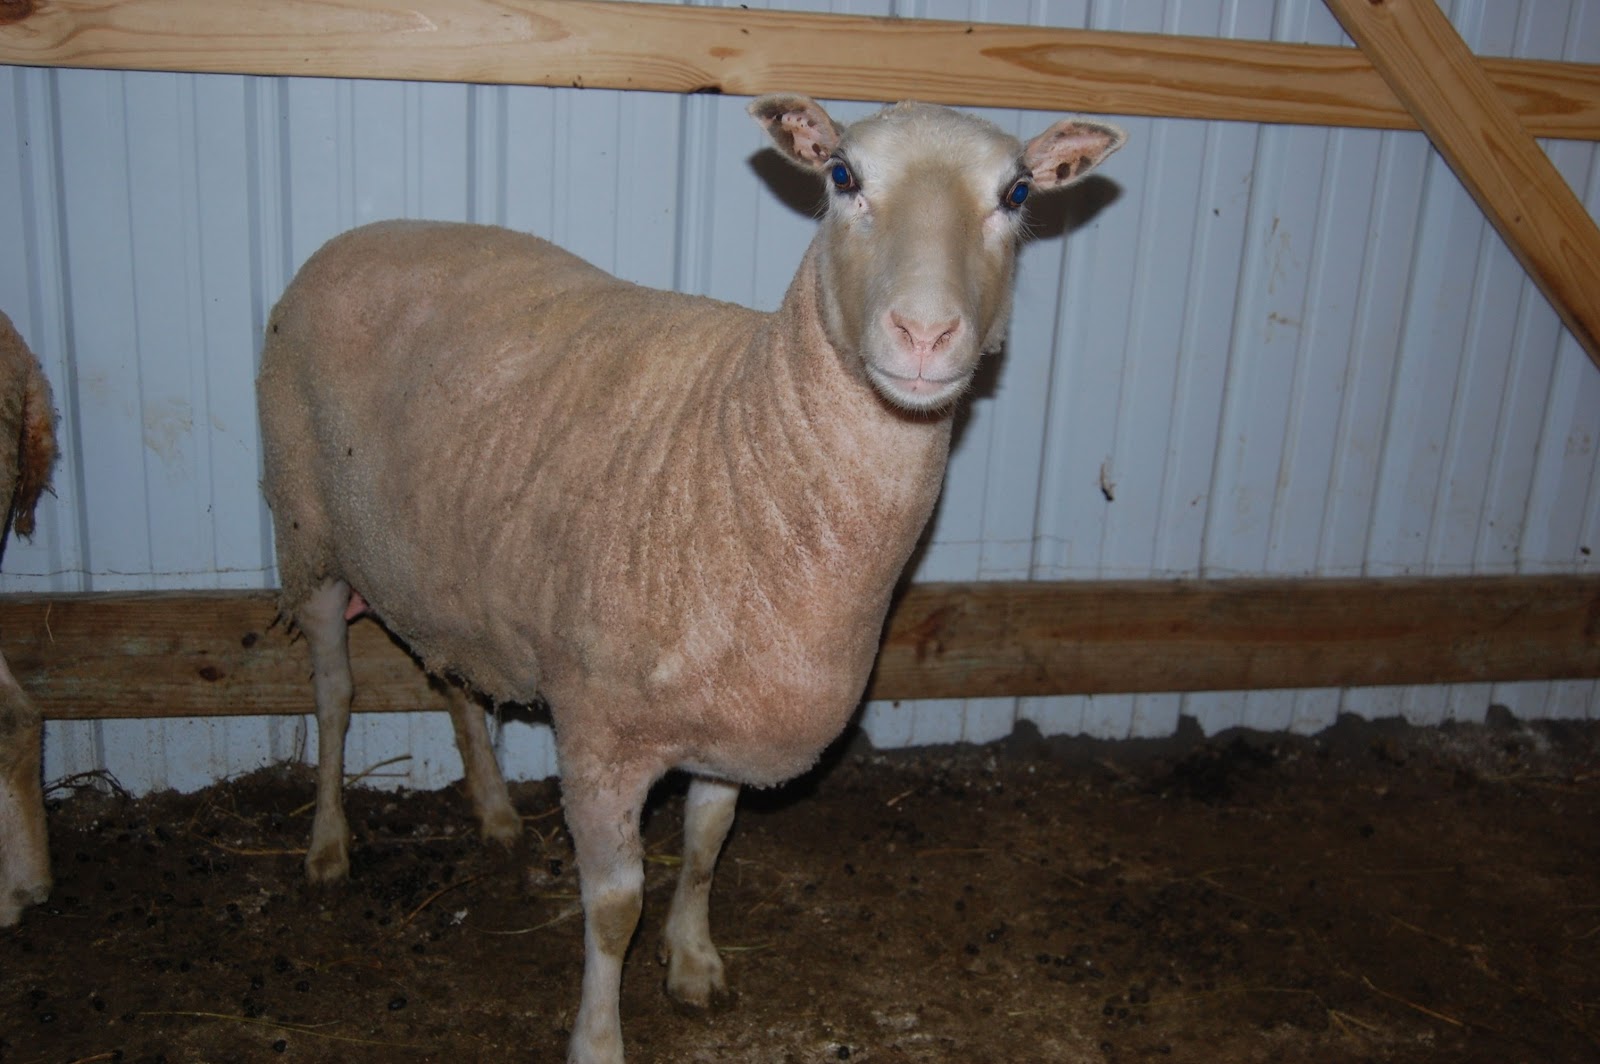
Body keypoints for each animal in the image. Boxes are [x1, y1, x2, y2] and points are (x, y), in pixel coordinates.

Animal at [257, 95, 1124, 1063]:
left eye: (1016, 193)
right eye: (843, 177)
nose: (927, 337)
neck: (744, 442)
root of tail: (363, 234)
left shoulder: (736, 713)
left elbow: (708, 845)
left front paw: (695, 961)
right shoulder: (599, 734)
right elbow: (612, 907)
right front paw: (598, 1037)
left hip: (440, 563)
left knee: (450, 676)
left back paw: (493, 812)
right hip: (306, 529)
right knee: (334, 694)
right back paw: (328, 846)